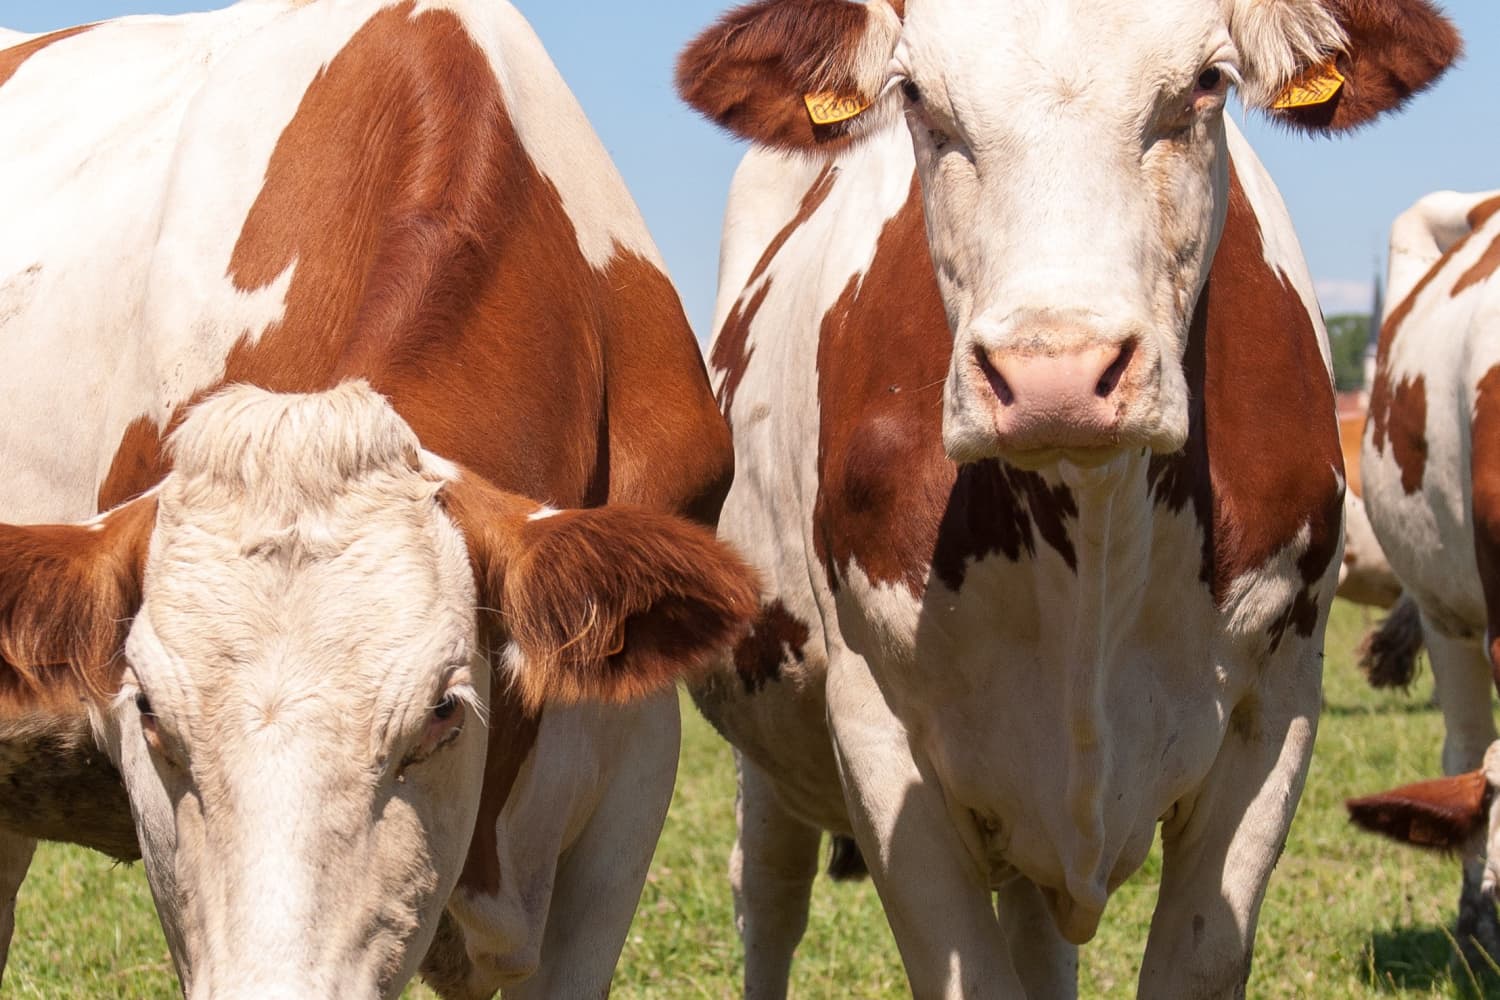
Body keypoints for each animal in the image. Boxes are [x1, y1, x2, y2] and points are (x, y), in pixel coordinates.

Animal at [675, 0, 1458, 996]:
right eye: (916, 94)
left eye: (1208, 82)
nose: (1056, 376)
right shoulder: (881, 742)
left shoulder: (1274, 716)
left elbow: (1197, 954)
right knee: (770, 895)